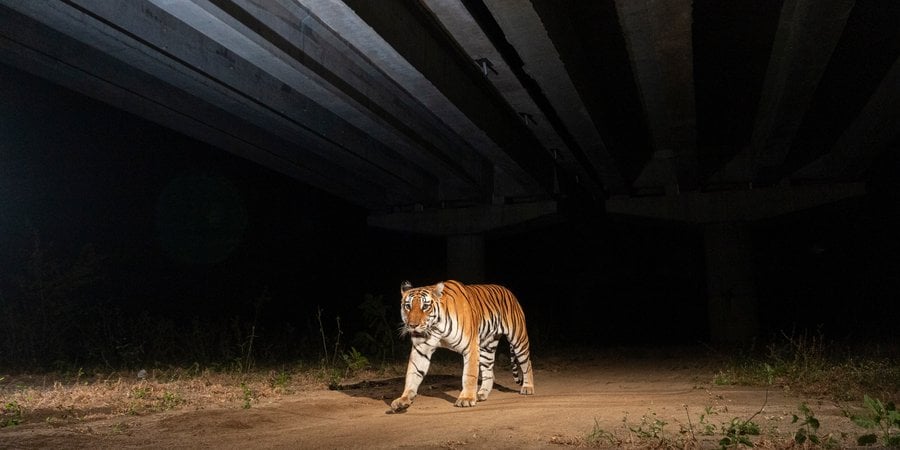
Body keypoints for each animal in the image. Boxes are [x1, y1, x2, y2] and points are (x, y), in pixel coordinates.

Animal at [390, 279, 534, 412]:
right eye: (407, 306)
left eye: (425, 306)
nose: (413, 325)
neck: (436, 327)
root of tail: (508, 291)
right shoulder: (421, 350)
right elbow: (412, 373)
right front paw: (403, 399)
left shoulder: (471, 347)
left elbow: (469, 375)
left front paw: (466, 399)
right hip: (487, 346)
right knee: (488, 370)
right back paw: (482, 393)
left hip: (518, 339)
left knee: (527, 363)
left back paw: (528, 387)